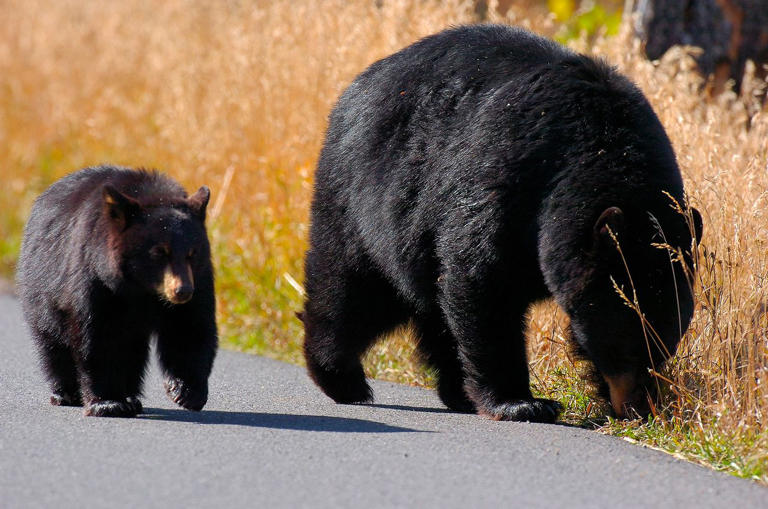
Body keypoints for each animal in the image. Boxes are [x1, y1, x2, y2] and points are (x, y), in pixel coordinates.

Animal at [16, 165, 218, 417]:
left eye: (193, 253)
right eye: (159, 252)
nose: (182, 291)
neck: (141, 289)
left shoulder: (199, 279)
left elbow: (190, 328)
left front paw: (186, 391)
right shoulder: (95, 278)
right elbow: (98, 336)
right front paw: (108, 403)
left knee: (132, 350)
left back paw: (131, 397)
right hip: (43, 290)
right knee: (52, 342)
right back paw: (66, 393)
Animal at [301, 24, 703, 423]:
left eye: (664, 345)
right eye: (623, 344)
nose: (638, 406)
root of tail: (355, 87)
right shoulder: (507, 181)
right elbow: (484, 281)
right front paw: (522, 402)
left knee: (433, 309)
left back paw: (457, 392)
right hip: (362, 200)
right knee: (352, 288)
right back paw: (342, 377)